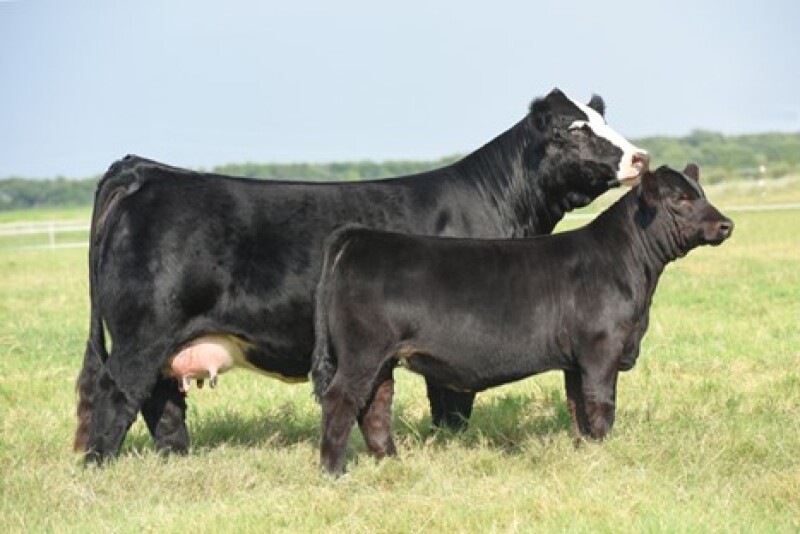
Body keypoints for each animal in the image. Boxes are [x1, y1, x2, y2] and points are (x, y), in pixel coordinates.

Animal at [74, 88, 649, 463]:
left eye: (602, 120)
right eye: (575, 128)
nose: (640, 157)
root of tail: (146, 170)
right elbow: (452, 403)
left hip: (164, 340)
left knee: (160, 401)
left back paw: (177, 459)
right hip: (143, 332)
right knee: (115, 393)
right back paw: (101, 467)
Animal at [312, 164, 733, 475]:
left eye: (702, 193)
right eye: (679, 199)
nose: (725, 224)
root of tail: (360, 237)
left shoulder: (575, 361)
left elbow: (578, 408)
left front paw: (586, 452)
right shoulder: (602, 349)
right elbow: (601, 405)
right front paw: (604, 453)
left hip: (383, 359)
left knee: (375, 408)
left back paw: (393, 464)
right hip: (363, 352)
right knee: (340, 401)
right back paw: (334, 473)